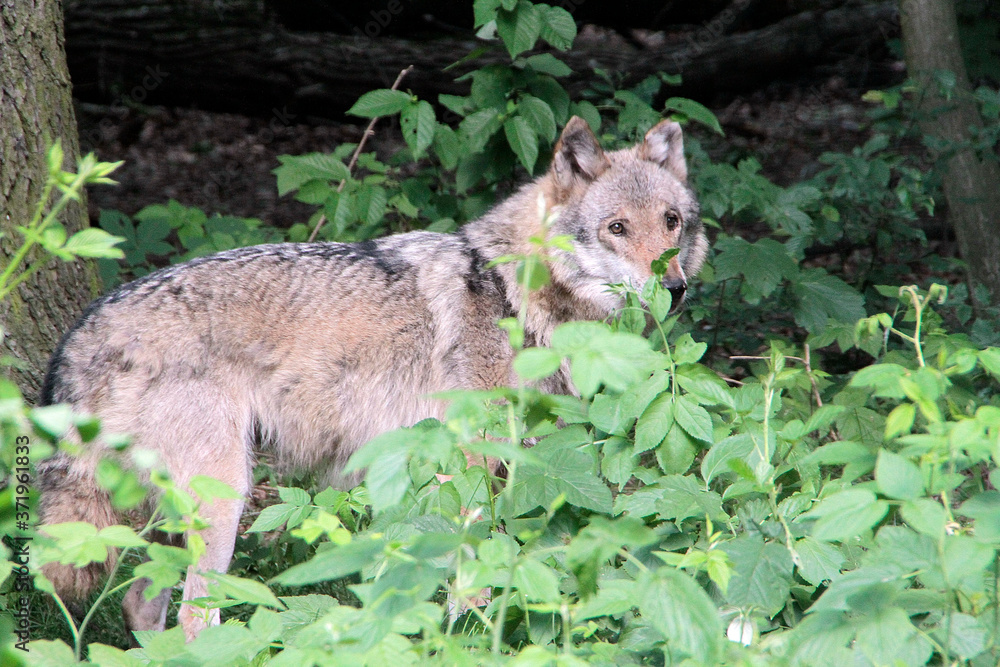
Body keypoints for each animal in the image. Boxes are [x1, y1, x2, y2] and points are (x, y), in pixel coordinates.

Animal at [37, 116, 707, 640]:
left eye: (671, 222)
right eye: (617, 228)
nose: (674, 288)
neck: (513, 294)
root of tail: (82, 330)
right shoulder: (466, 469)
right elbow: (472, 582)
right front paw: (465, 638)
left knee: (139, 602)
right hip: (224, 503)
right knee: (194, 618)